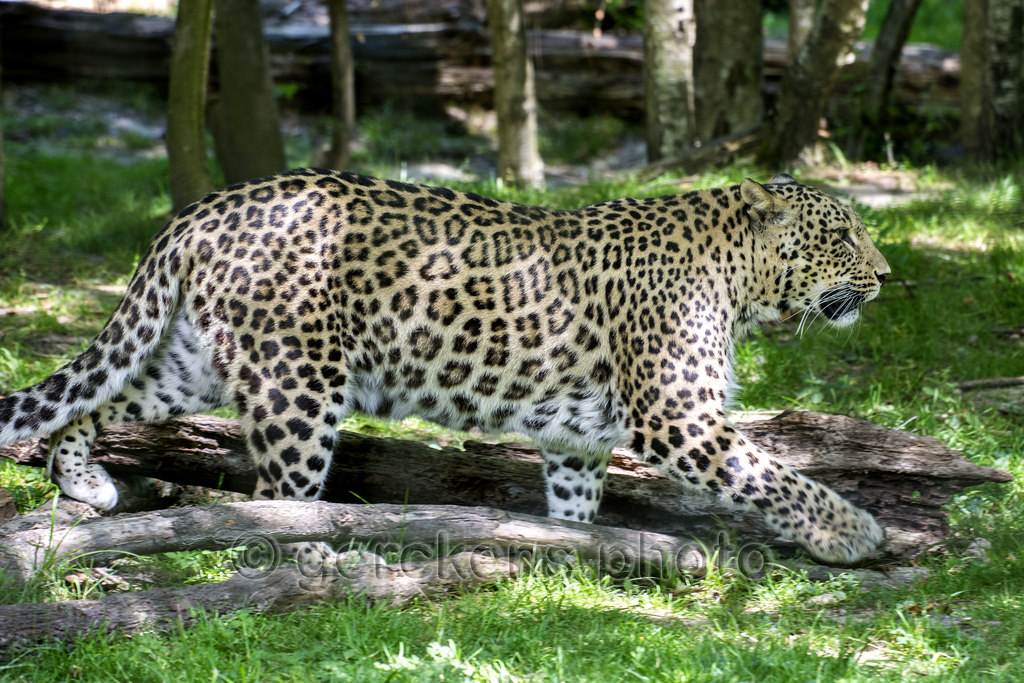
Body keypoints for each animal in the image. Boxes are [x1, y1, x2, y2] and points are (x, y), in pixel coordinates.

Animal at [0, 168, 890, 565]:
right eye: (841, 232)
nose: (884, 276)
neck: (741, 281)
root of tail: (201, 209)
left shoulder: (579, 437)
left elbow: (575, 501)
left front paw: (572, 559)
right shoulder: (682, 417)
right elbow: (776, 475)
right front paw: (854, 532)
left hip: (193, 359)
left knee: (94, 403)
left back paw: (84, 481)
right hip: (300, 383)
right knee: (274, 499)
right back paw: (325, 569)